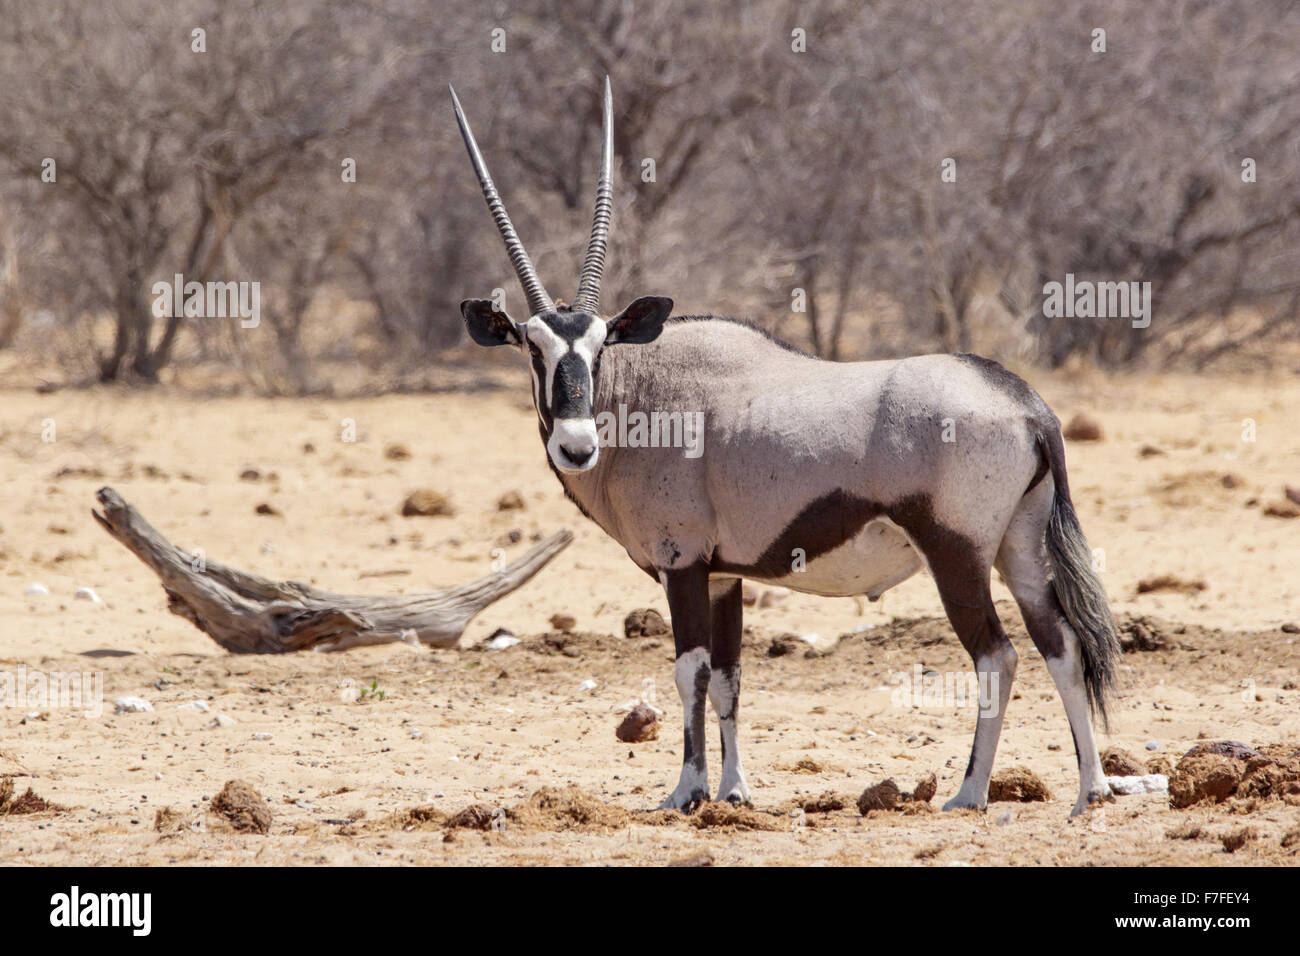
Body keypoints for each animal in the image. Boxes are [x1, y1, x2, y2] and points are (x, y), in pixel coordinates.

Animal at [450, 79, 1120, 816]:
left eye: (600, 348)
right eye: (532, 349)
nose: (575, 446)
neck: (645, 393)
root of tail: (1027, 405)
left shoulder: (682, 563)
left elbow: (690, 672)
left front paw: (686, 791)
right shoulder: (723, 574)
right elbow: (731, 677)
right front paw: (735, 791)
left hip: (956, 551)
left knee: (997, 655)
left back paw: (970, 792)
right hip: (1018, 548)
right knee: (1060, 644)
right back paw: (1090, 790)